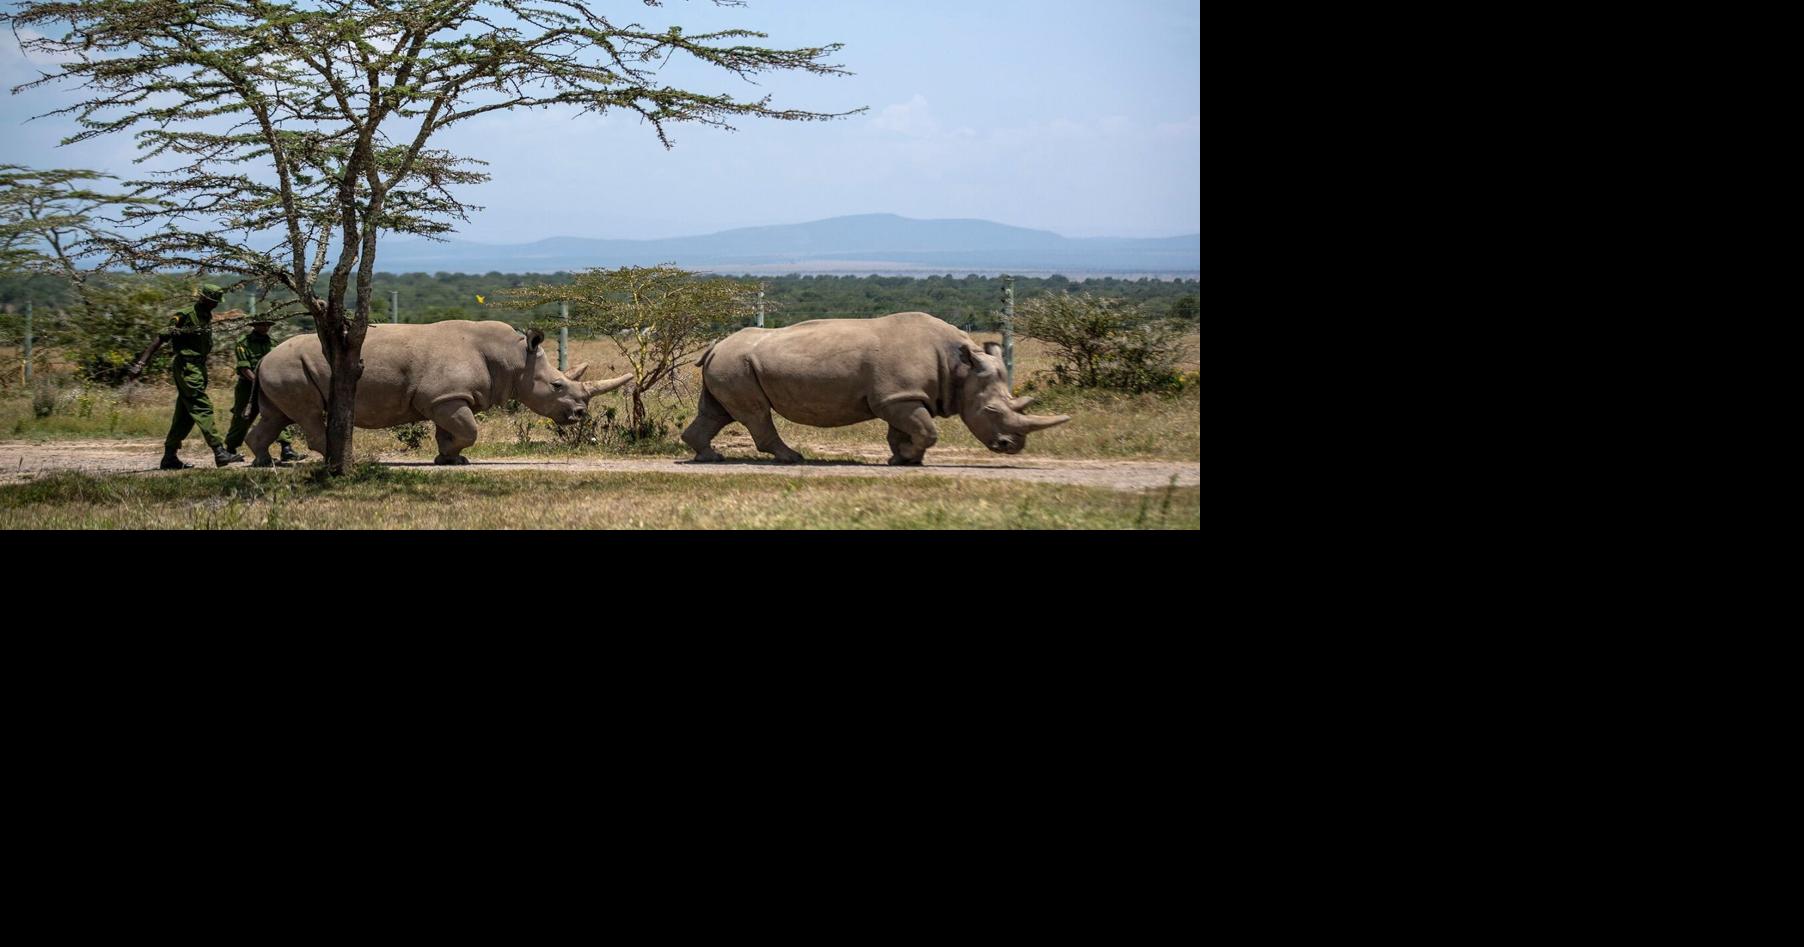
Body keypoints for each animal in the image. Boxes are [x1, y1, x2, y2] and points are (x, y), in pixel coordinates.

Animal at [245, 321, 631, 466]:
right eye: (557, 385)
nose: (580, 415)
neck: (513, 357)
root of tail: (264, 357)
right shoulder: (446, 397)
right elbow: (470, 430)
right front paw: (452, 458)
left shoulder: (446, 397)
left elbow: (451, 432)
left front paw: (449, 460)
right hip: (290, 367)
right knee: (308, 415)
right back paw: (344, 460)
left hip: (281, 369)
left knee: (276, 416)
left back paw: (264, 462)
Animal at [682, 311, 1070, 465]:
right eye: (991, 411)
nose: (1010, 447)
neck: (959, 368)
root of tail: (715, 345)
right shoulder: (899, 397)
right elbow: (926, 431)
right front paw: (909, 458)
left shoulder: (900, 396)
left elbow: (904, 431)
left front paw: (902, 459)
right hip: (736, 363)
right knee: (755, 413)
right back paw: (792, 458)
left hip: (731, 363)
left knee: (718, 411)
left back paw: (709, 457)